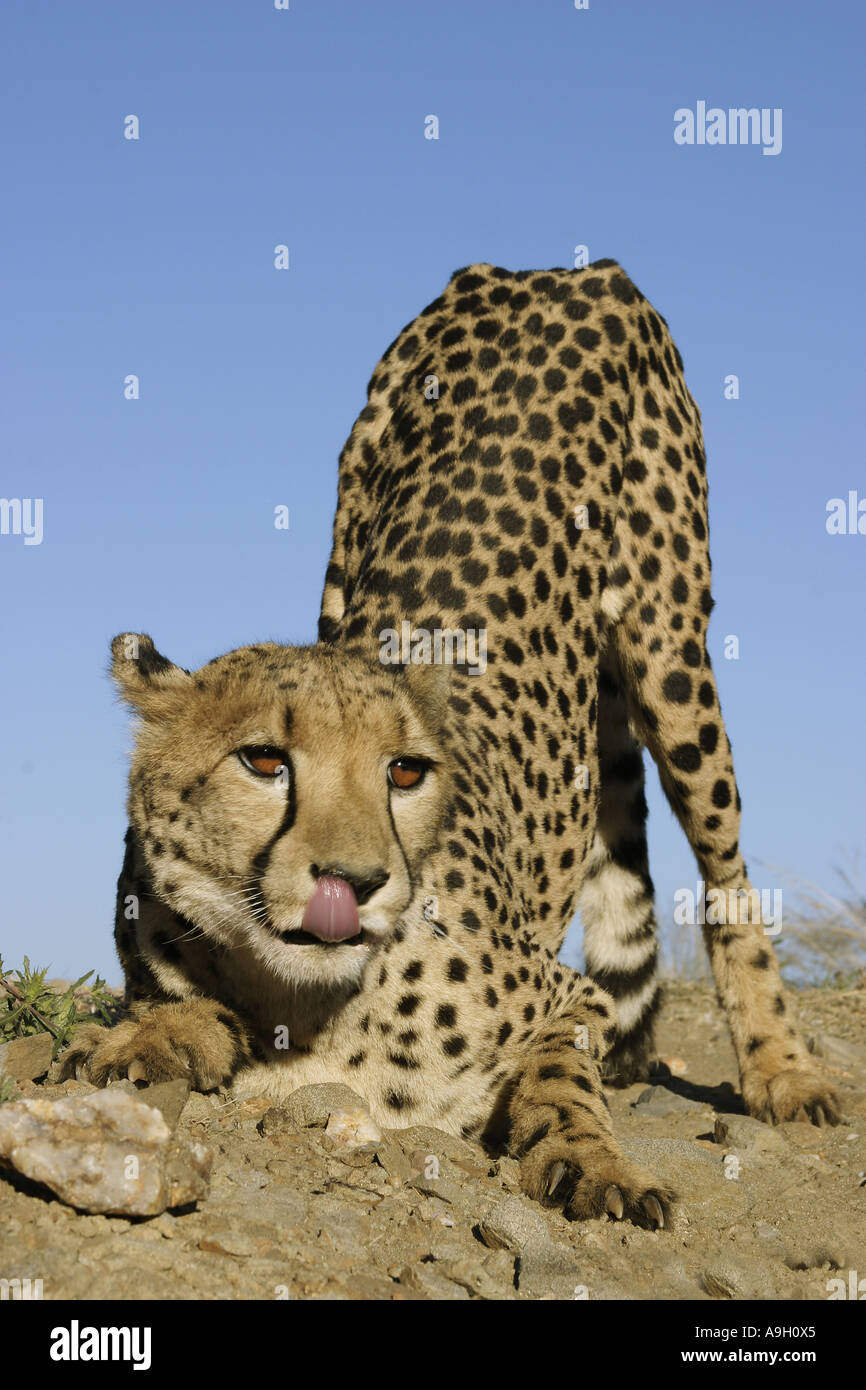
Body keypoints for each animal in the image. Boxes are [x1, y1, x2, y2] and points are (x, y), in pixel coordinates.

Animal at [62, 259, 840, 1230]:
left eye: (405, 772)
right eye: (265, 762)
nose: (354, 882)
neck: (309, 1003)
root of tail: (561, 268)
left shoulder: (568, 997)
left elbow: (562, 1079)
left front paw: (598, 1166)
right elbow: (174, 1009)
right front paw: (145, 1042)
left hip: (673, 653)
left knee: (727, 872)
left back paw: (783, 1071)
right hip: (345, 544)